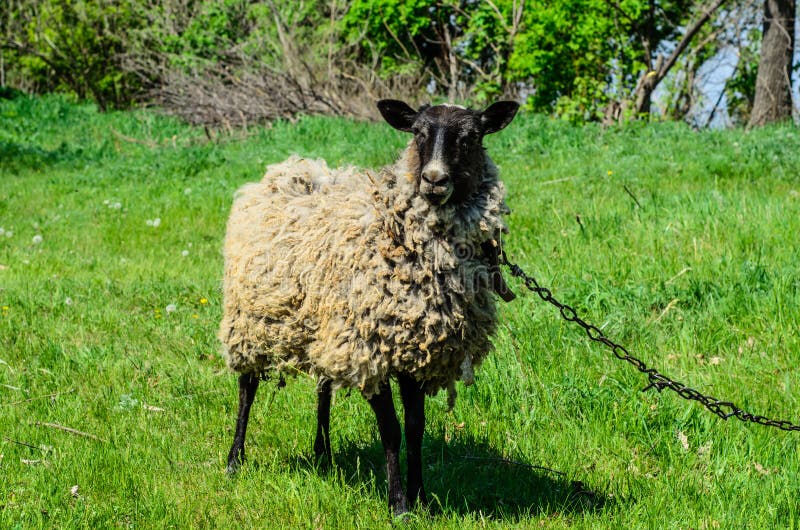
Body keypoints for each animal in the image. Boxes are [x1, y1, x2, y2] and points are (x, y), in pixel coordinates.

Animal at [219, 99, 519, 515]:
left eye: (472, 137)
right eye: (418, 133)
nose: (434, 180)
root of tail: (291, 169)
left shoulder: (415, 352)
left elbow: (416, 427)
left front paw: (421, 495)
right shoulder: (369, 350)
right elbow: (391, 431)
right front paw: (399, 505)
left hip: (323, 327)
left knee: (323, 386)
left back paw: (323, 453)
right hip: (250, 320)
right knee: (247, 387)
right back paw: (235, 459)